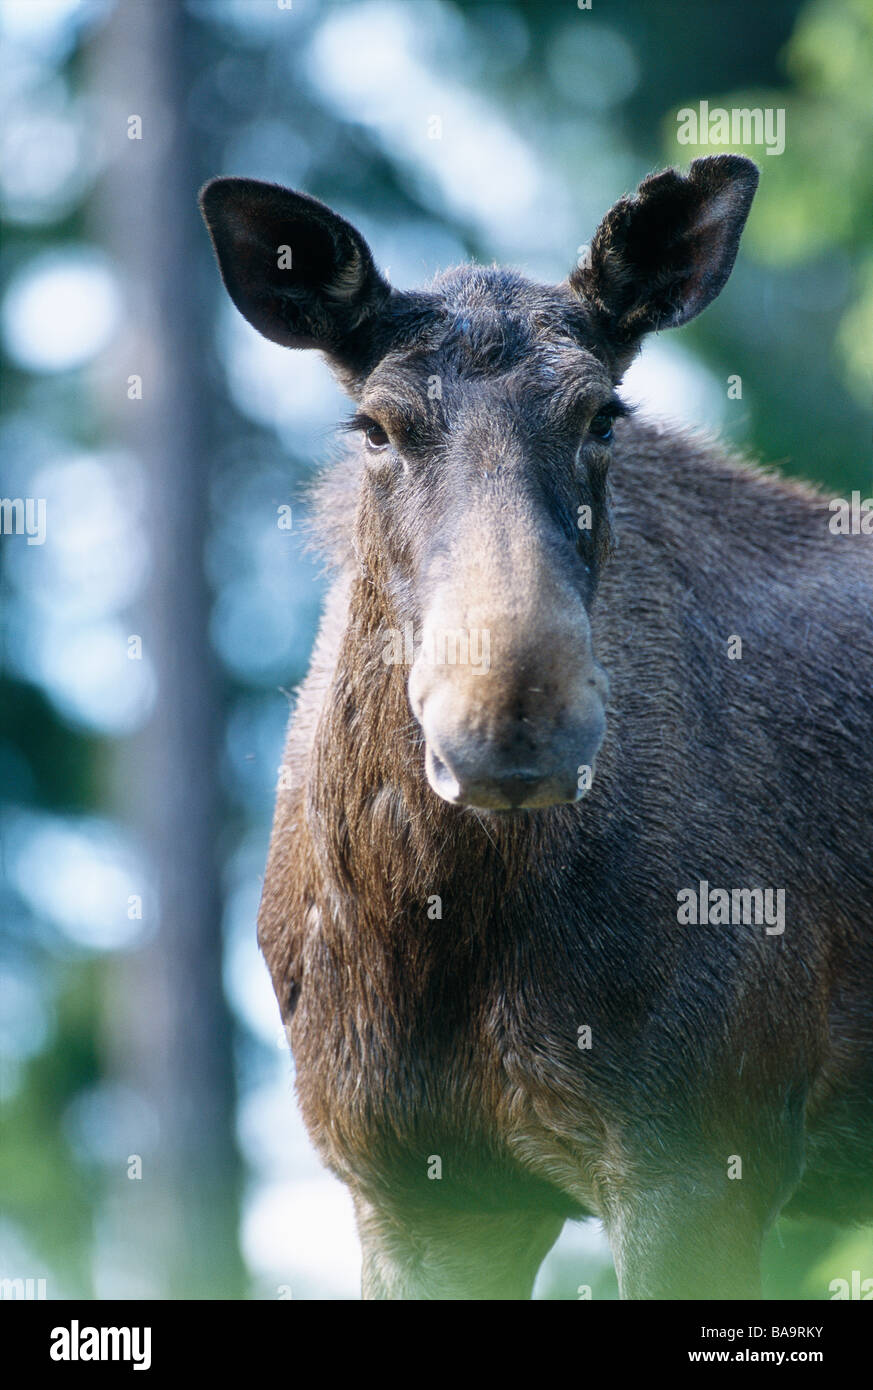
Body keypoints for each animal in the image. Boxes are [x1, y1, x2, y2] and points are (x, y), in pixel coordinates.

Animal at [200, 155, 873, 1300]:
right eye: (374, 426)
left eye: (603, 415)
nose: (513, 721)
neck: (432, 922)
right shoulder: (419, 1194)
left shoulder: (703, 1154)